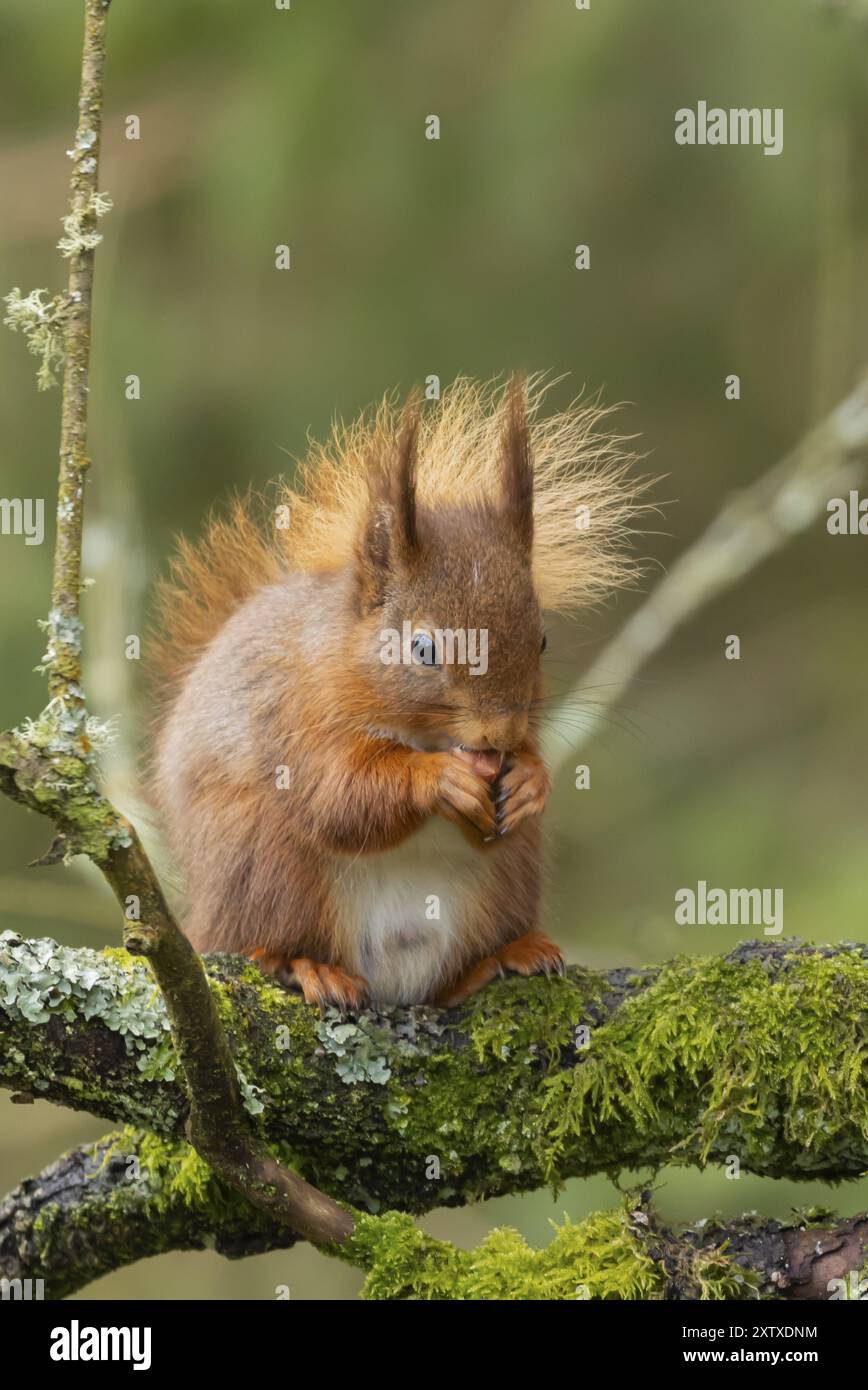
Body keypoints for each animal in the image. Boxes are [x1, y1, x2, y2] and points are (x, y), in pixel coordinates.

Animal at [149, 377, 640, 1011]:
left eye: (543, 640)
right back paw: (308, 966)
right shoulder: (296, 716)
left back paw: (502, 958)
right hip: (267, 868)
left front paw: (532, 779)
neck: (423, 734)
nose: (501, 734)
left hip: (508, 878)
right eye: (424, 648)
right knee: (264, 943)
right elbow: (338, 795)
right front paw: (440, 780)